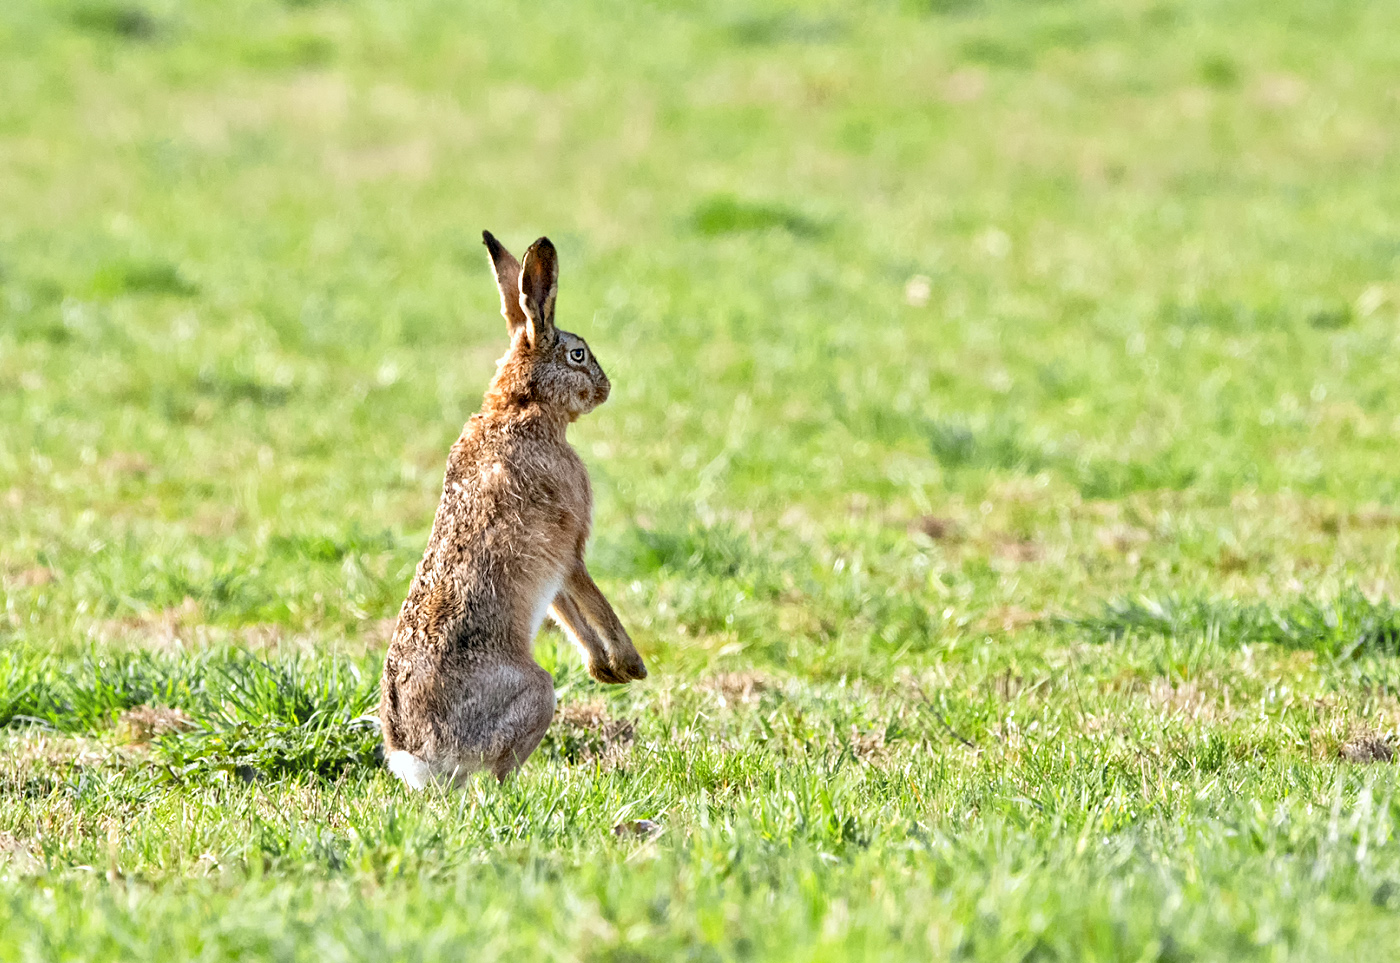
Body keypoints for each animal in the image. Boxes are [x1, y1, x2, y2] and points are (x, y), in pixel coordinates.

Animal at [378, 232, 647, 789]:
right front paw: (631, 667)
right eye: (578, 354)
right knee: (497, 778)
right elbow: (595, 603)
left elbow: (569, 613)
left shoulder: (556, 568)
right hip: (538, 694)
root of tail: (419, 756)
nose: (605, 388)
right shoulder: (570, 547)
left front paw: (603, 671)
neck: (521, 406)